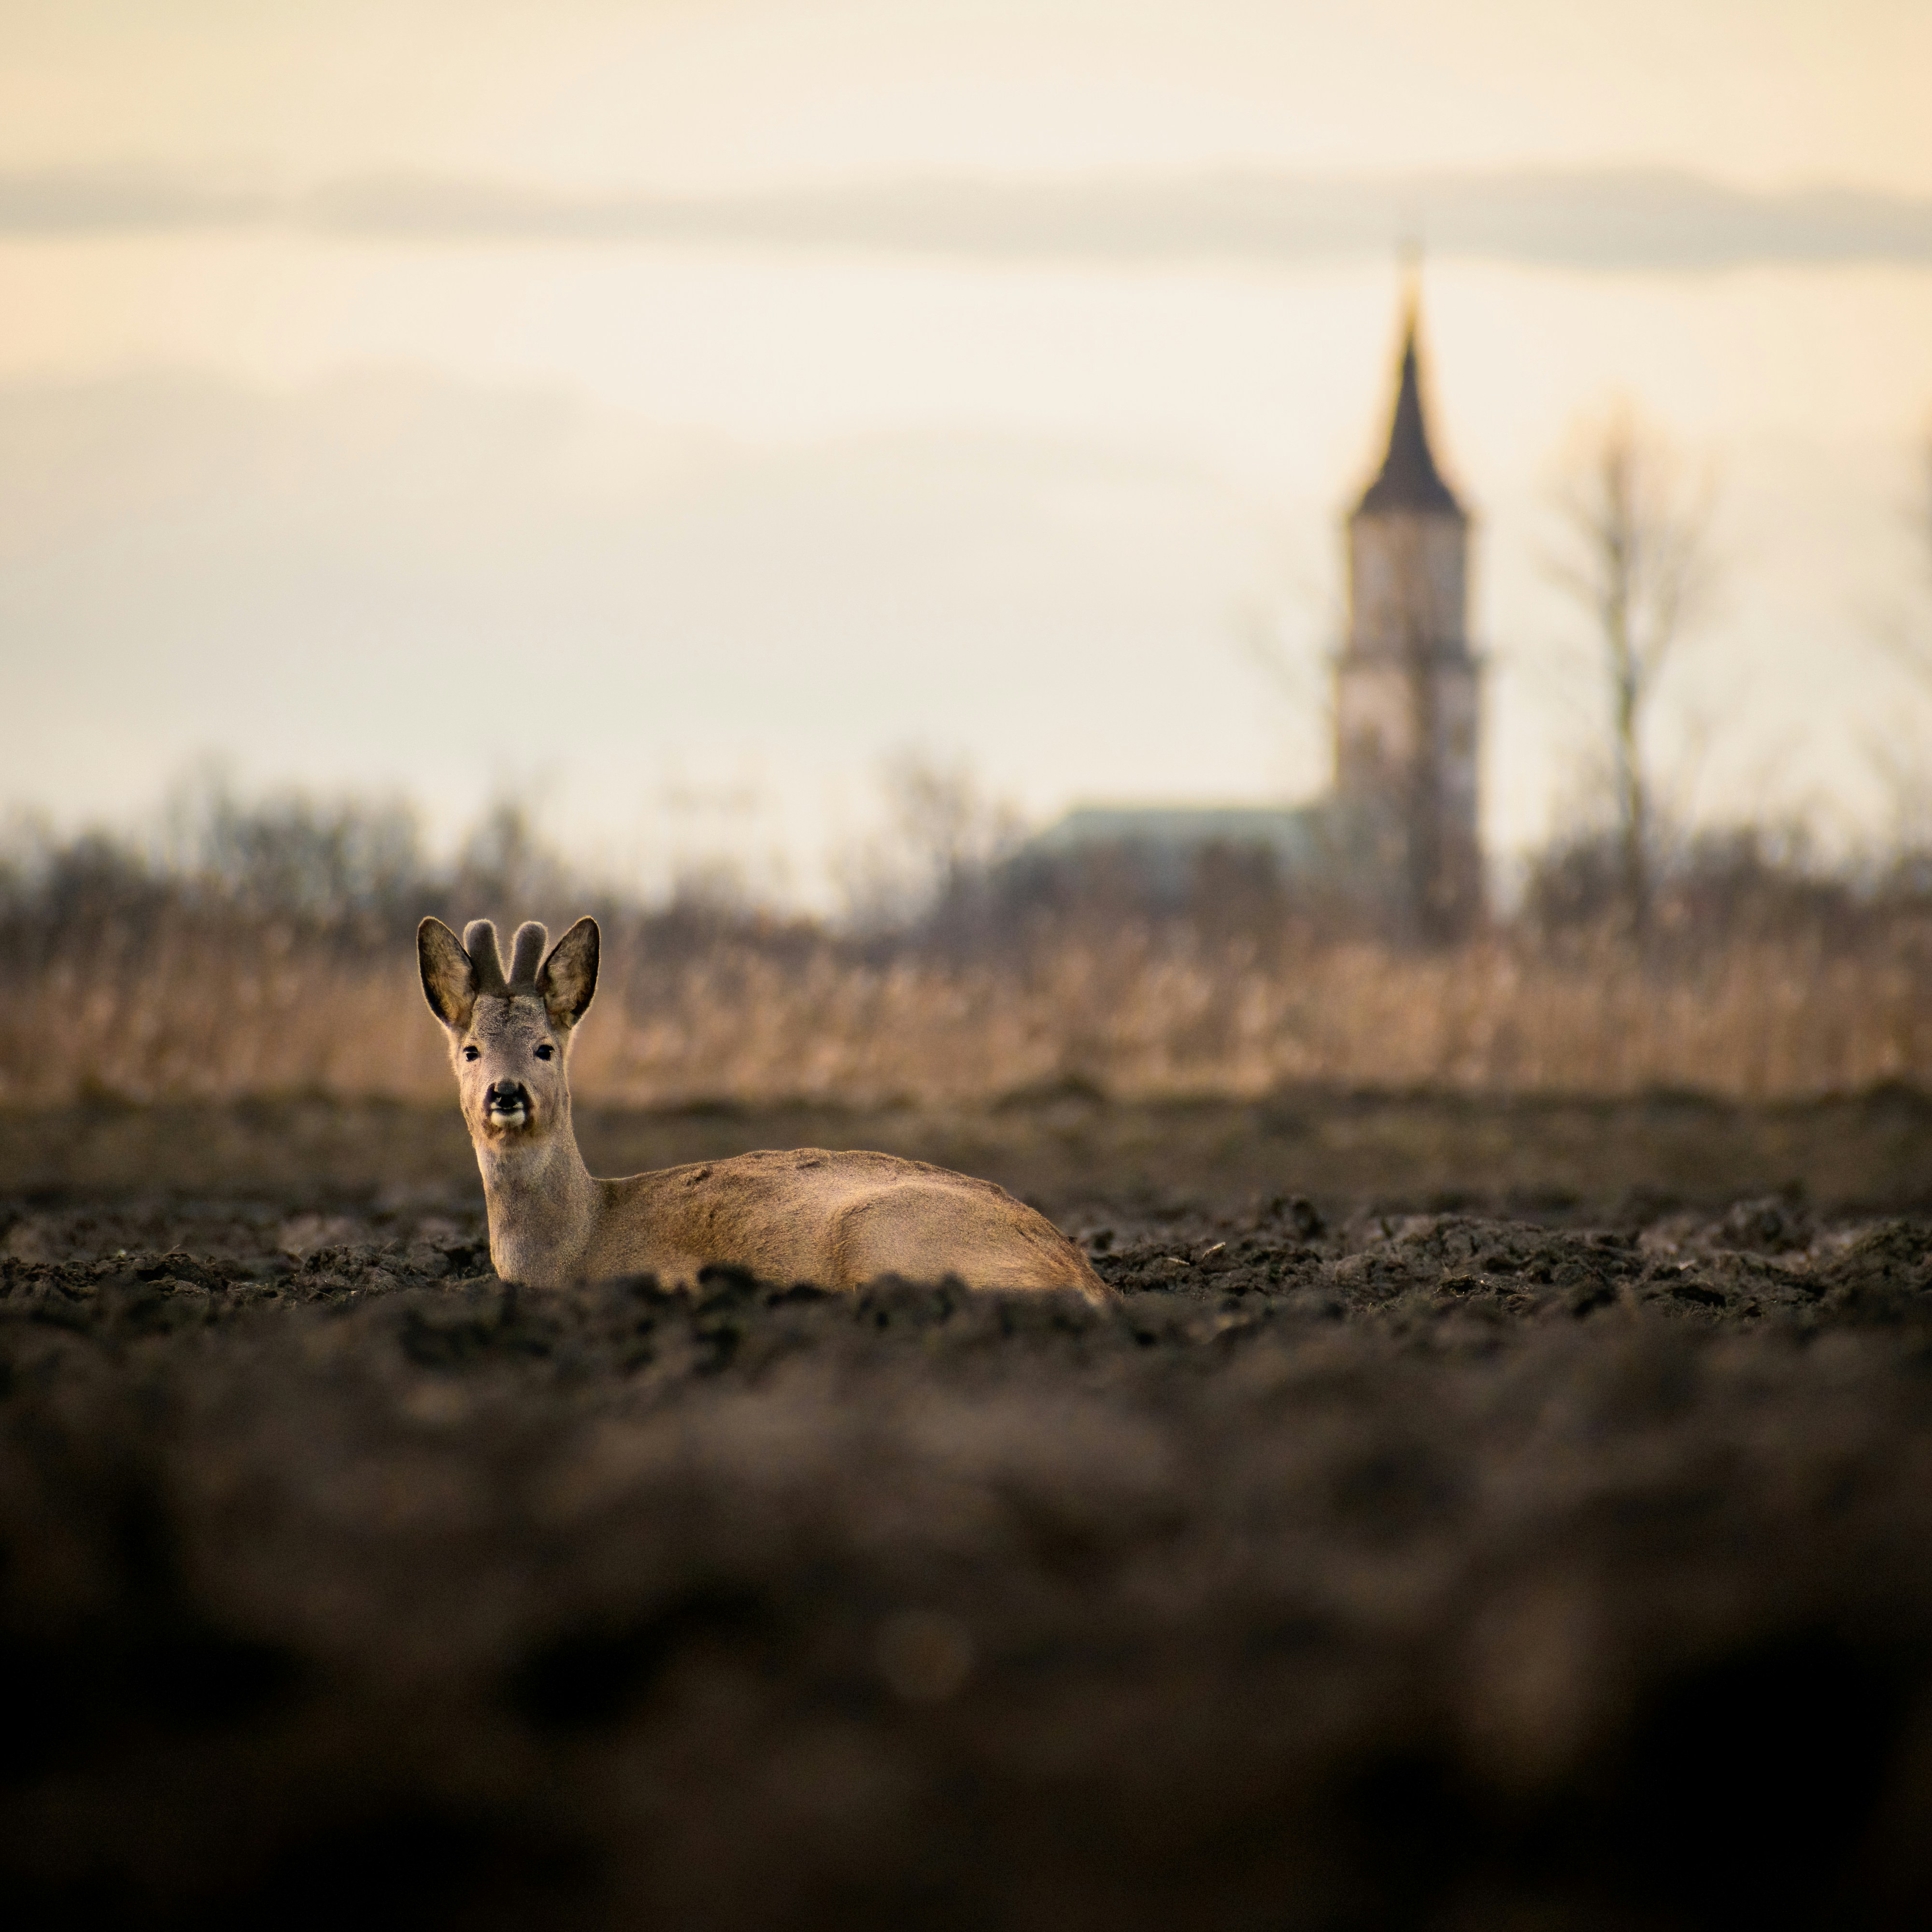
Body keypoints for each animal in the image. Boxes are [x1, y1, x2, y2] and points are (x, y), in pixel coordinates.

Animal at [417, 915, 1111, 1303]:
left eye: (545, 1047)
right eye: (471, 1049)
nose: (506, 1093)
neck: (574, 1243)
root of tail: (1084, 1274)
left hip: (882, 1235)